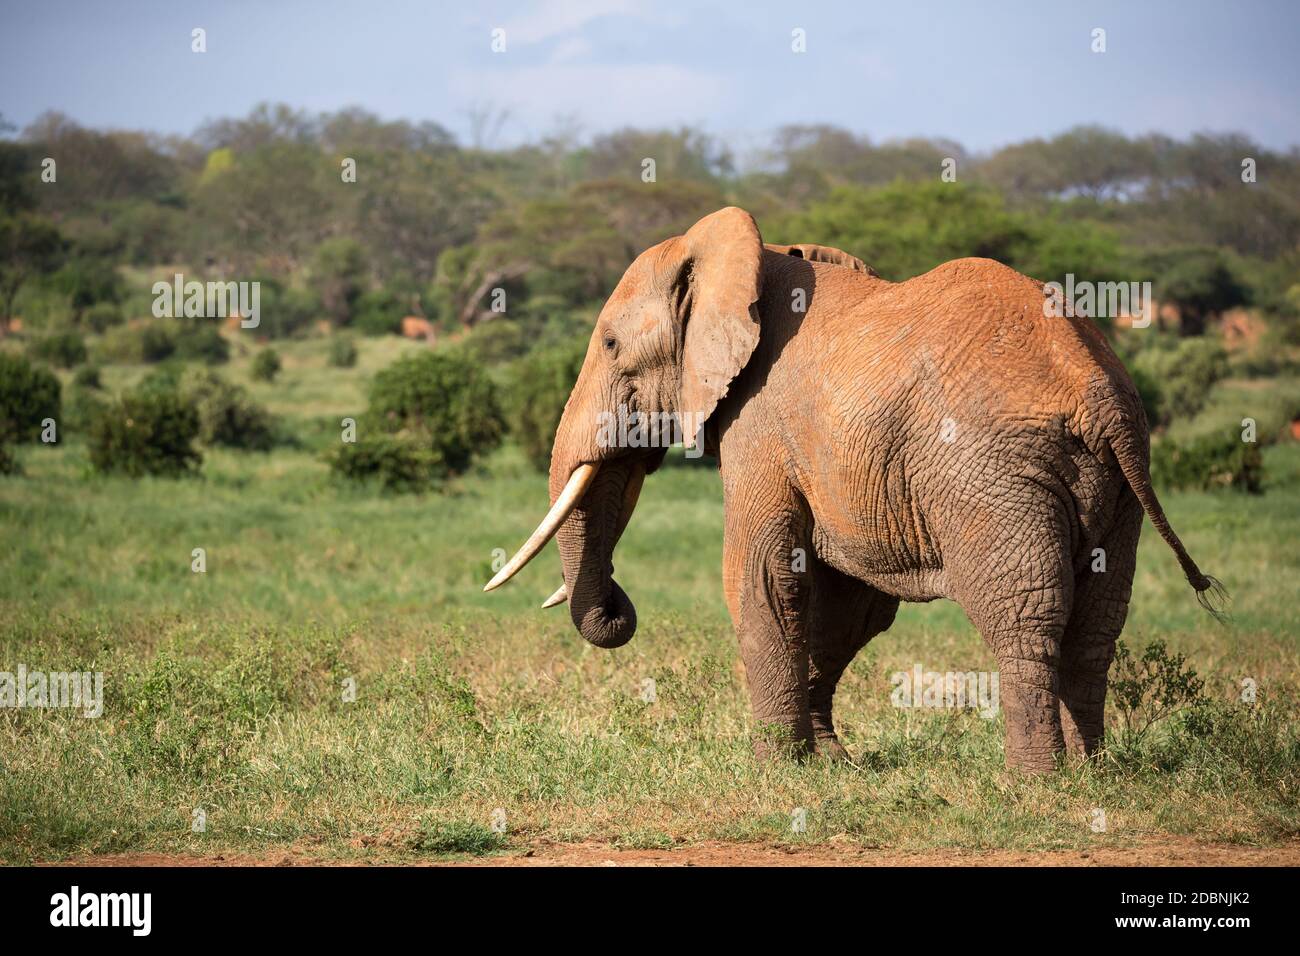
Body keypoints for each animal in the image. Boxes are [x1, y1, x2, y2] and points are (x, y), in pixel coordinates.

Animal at [485, 206, 1224, 771]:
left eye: (610, 345)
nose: (616, 606)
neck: (748, 259)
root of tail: (1099, 392)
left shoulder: (761, 422)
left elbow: (760, 575)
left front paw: (774, 769)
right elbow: (847, 602)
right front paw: (832, 764)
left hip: (993, 475)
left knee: (1024, 614)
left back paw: (1034, 781)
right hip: (1112, 486)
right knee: (1099, 620)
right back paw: (1091, 777)